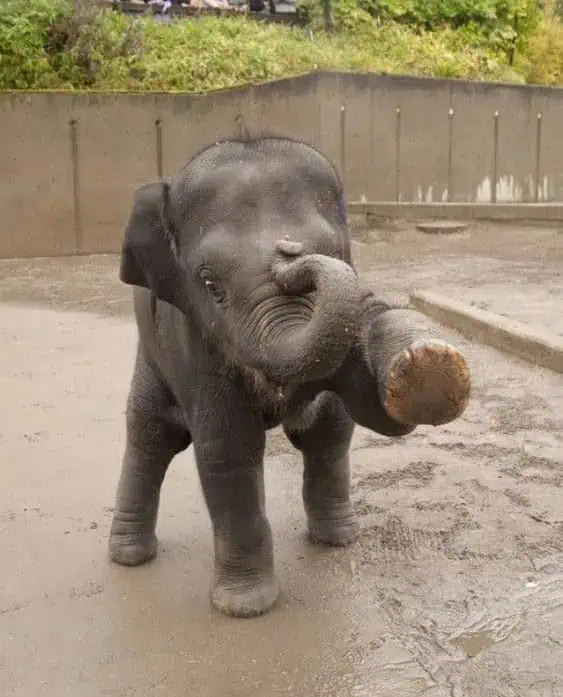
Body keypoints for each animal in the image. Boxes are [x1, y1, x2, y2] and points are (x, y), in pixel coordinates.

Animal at [109, 135, 471, 618]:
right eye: (210, 284)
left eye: (339, 254)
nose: (290, 251)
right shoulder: (194, 342)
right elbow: (228, 447)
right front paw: (245, 608)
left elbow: (367, 410)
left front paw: (427, 363)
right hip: (151, 358)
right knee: (150, 437)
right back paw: (129, 558)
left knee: (329, 434)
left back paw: (337, 540)